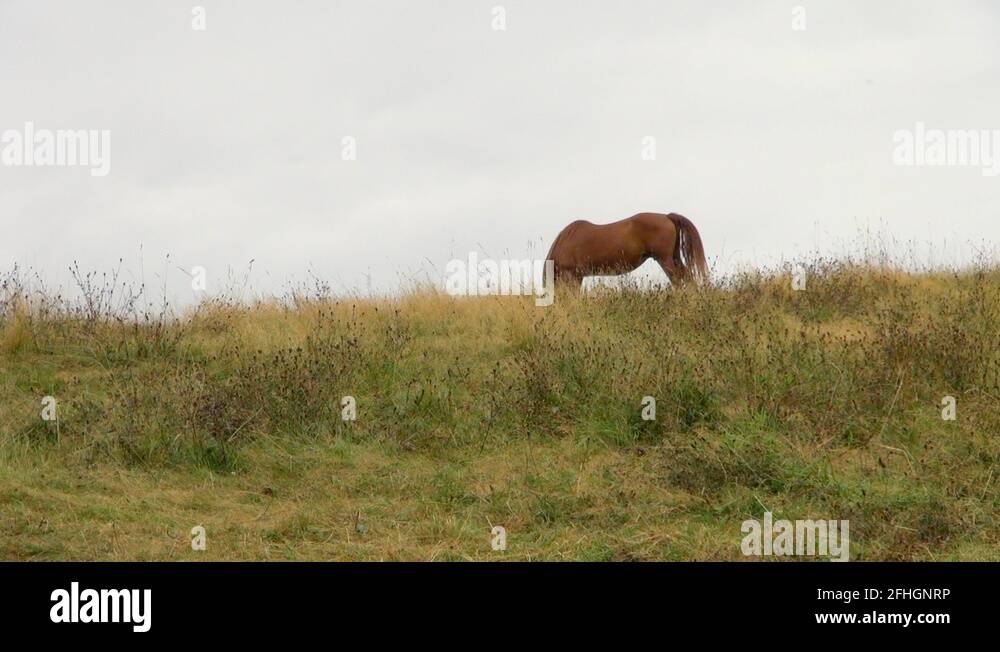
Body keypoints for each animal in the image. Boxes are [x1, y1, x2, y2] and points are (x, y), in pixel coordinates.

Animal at [545, 212, 708, 288]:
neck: (564, 240)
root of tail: (666, 216)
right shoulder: (577, 277)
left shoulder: (570, 276)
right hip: (673, 258)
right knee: (687, 277)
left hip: (665, 259)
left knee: (678, 280)